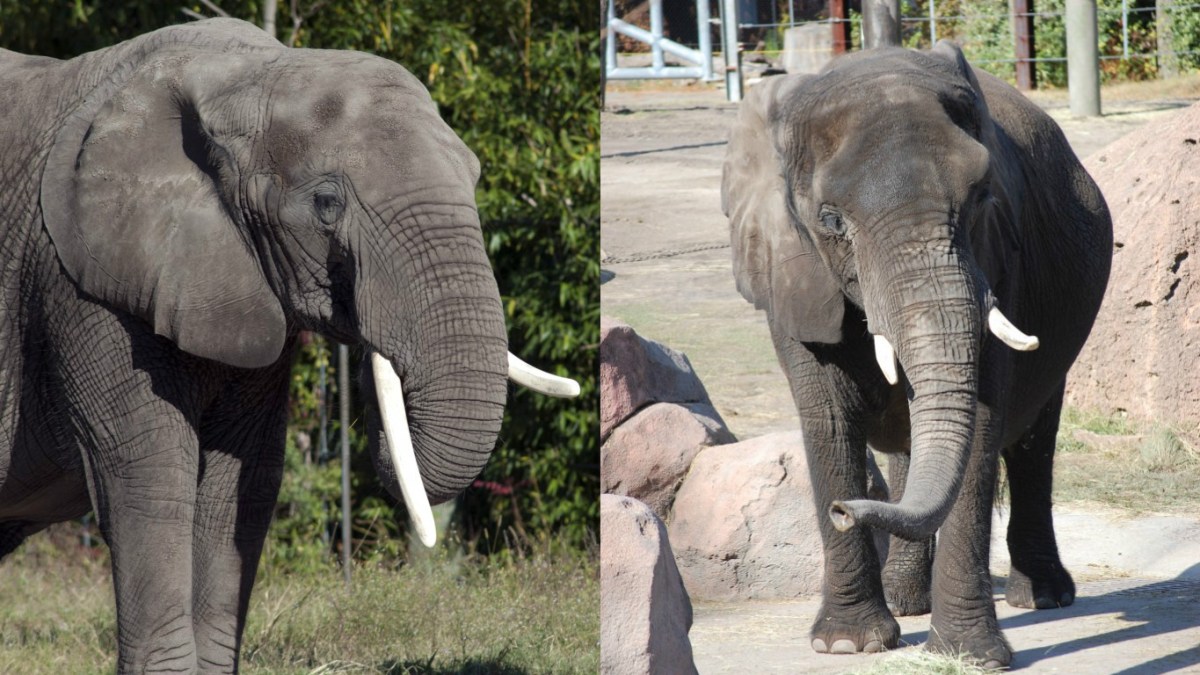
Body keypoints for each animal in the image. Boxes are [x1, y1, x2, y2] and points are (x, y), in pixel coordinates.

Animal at [721, 42, 1111, 668]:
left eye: (982, 198)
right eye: (831, 221)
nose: (844, 509)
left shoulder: (1000, 261)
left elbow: (982, 423)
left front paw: (970, 657)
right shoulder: (790, 270)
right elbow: (829, 421)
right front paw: (845, 644)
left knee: (1033, 442)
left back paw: (1045, 597)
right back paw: (907, 601)